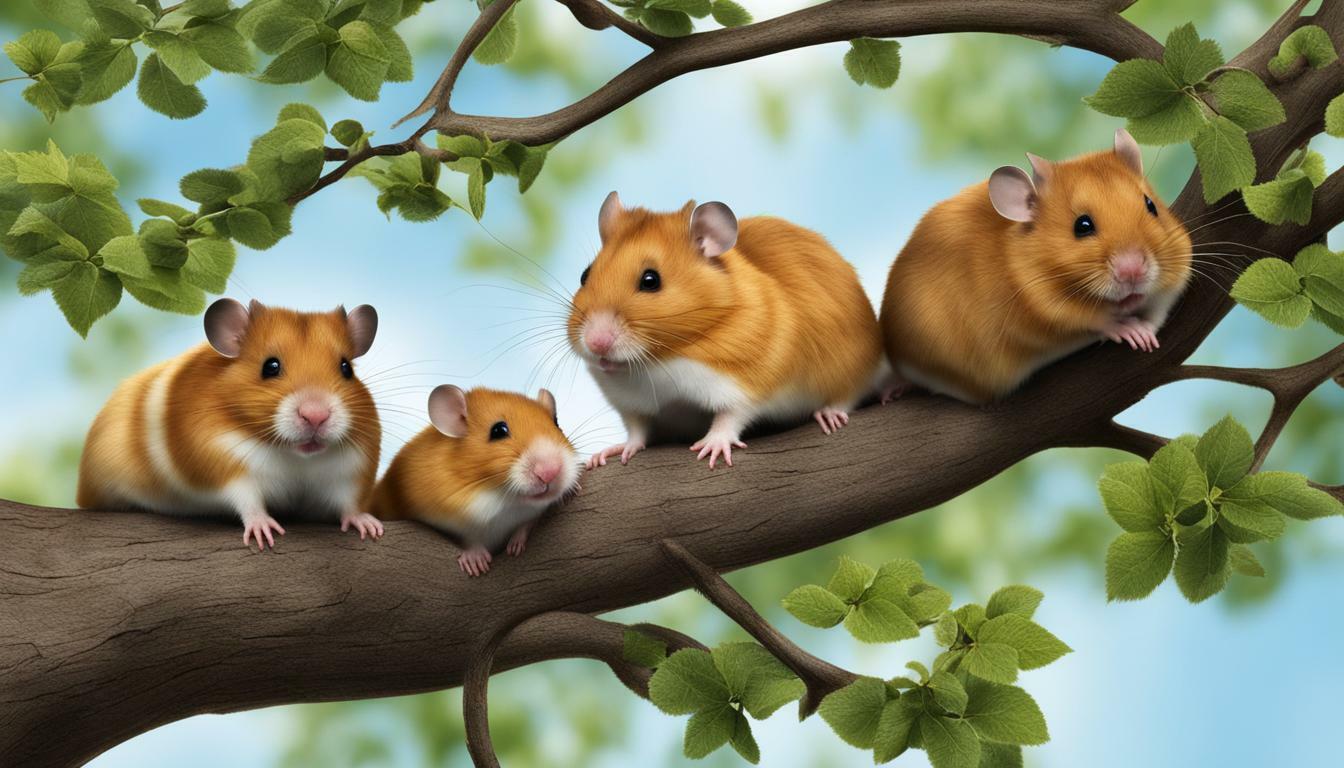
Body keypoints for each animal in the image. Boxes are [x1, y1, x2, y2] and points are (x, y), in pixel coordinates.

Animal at [76, 298, 384, 550]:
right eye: (270, 367)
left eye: (346, 368)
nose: (316, 416)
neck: (295, 456)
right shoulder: (222, 463)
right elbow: (246, 498)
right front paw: (264, 531)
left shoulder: (348, 471)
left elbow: (347, 502)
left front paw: (370, 527)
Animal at [370, 386, 581, 576]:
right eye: (498, 430)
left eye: (556, 423)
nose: (550, 472)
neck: (500, 499)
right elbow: (464, 537)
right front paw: (476, 560)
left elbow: (529, 520)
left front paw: (516, 543)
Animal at [568, 193, 883, 469]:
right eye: (584, 275)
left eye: (650, 280)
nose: (595, 344)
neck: (662, 358)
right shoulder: (630, 404)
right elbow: (637, 430)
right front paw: (609, 453)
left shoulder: (746, 383)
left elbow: (730, 417)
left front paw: (712, 447)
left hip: (852, 363)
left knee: (851, 390)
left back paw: (830, 414)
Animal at [879, 129, 1193, 404]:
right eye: (1082, 226)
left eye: (1151, 206)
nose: (1133, 271)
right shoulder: (1041, 316)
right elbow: (1093, 321)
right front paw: (1127, 328)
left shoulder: (1175, 281)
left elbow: (1158, 311)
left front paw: (1146, 335)